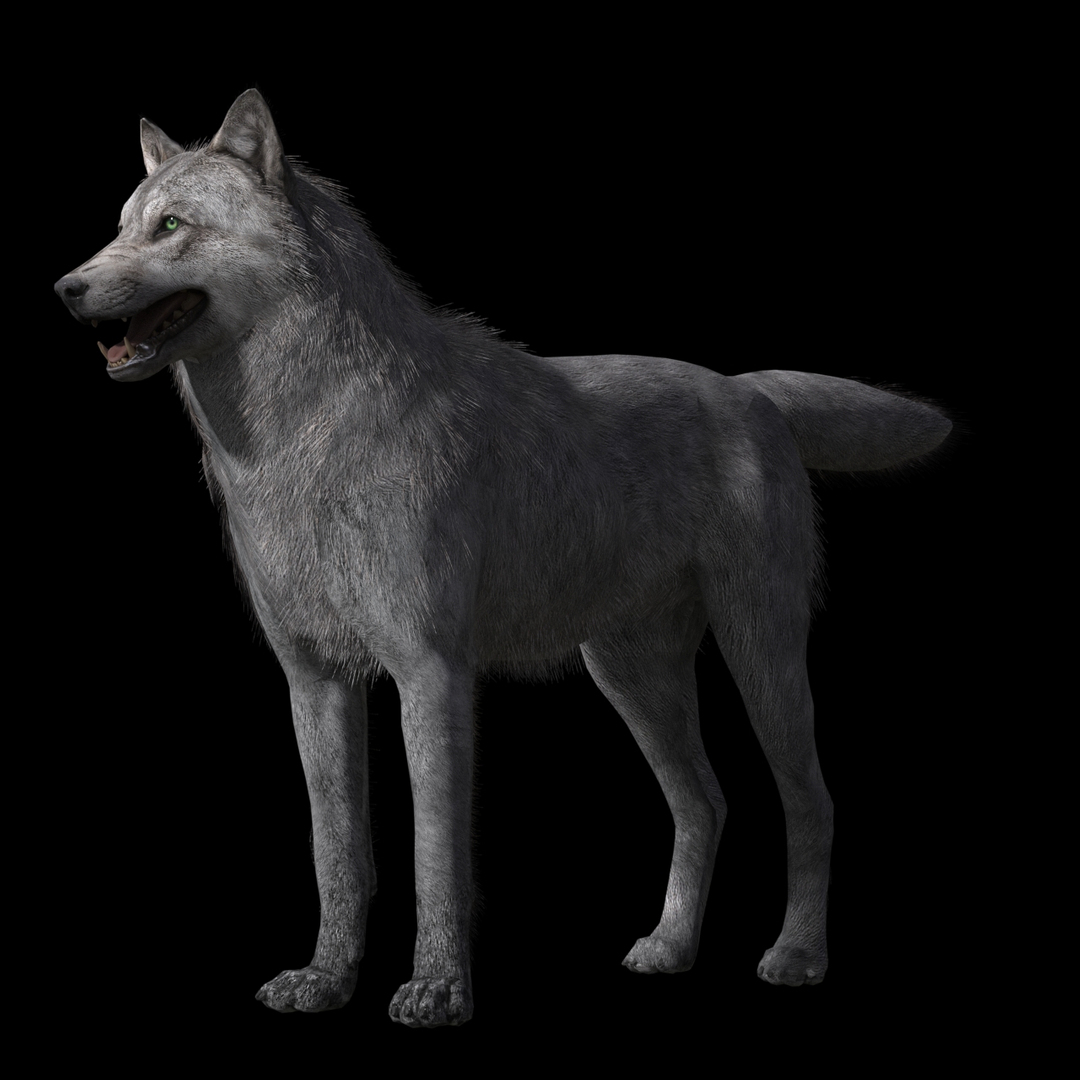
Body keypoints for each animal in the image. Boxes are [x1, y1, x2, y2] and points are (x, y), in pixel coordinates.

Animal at [56, 90, 951, 1027]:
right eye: (118, 228)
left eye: (172, 227)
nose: (65, 287)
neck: (301, 440)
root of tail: (750, 392)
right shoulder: (314, 680)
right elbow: (337, 855)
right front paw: (325, 980)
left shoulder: (430, 673)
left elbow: (433, 856)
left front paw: (437, 991)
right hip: (631, 678)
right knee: (704, 802)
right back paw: (668, 948)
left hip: (759, 656)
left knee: (811, 802)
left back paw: (797, 956)